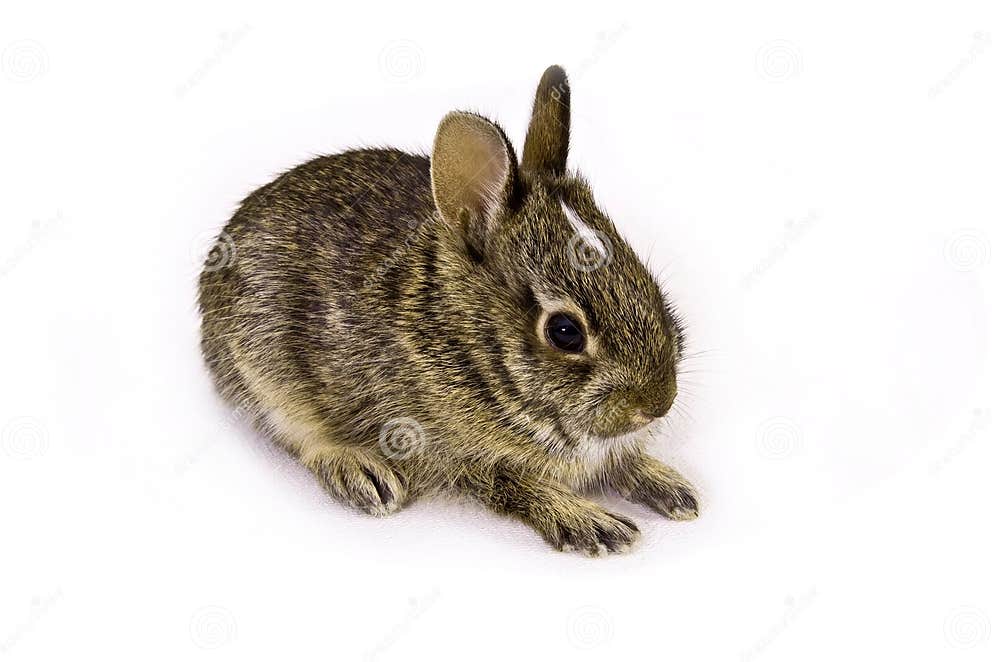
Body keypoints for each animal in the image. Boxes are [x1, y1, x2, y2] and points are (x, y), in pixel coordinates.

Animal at [198, 65, 699, 555]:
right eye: (564, 331)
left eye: (650, 283)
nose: (657, 404)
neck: (467, 339)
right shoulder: (453, 453)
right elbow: (518, 486)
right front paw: (592, 523)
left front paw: (672, 488)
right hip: (265, 373)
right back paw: (361, 472)